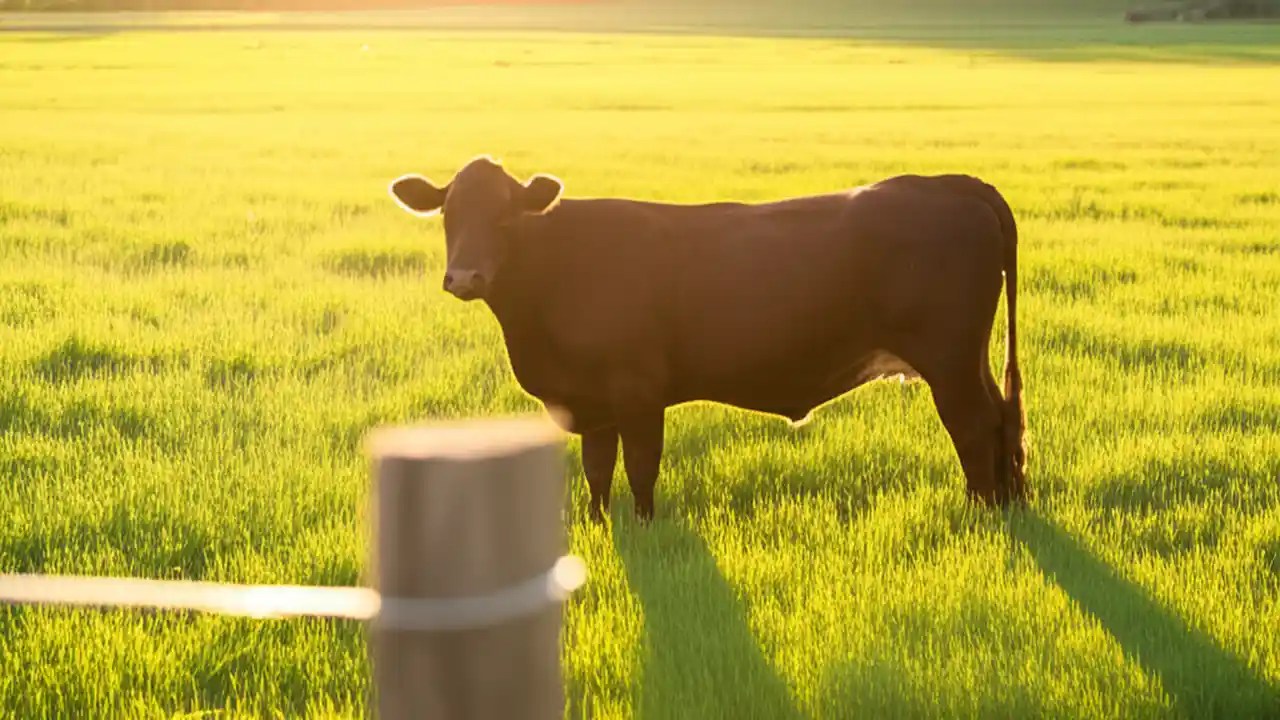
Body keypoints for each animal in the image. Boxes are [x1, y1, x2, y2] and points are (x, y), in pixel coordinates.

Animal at [387, 155, 1027, 522]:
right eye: (447, 214)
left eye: (506, 216)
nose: (465, 277)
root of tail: (951, 184)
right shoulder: (590, 402)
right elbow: (597, 471)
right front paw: (598, 524)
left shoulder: (638, 392)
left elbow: (641, 467)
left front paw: (645, 526)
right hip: (969, 359)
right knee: (1002, 420)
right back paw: (1010, 502)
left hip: (948, 361)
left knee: (974, 427)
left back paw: (982, 510)